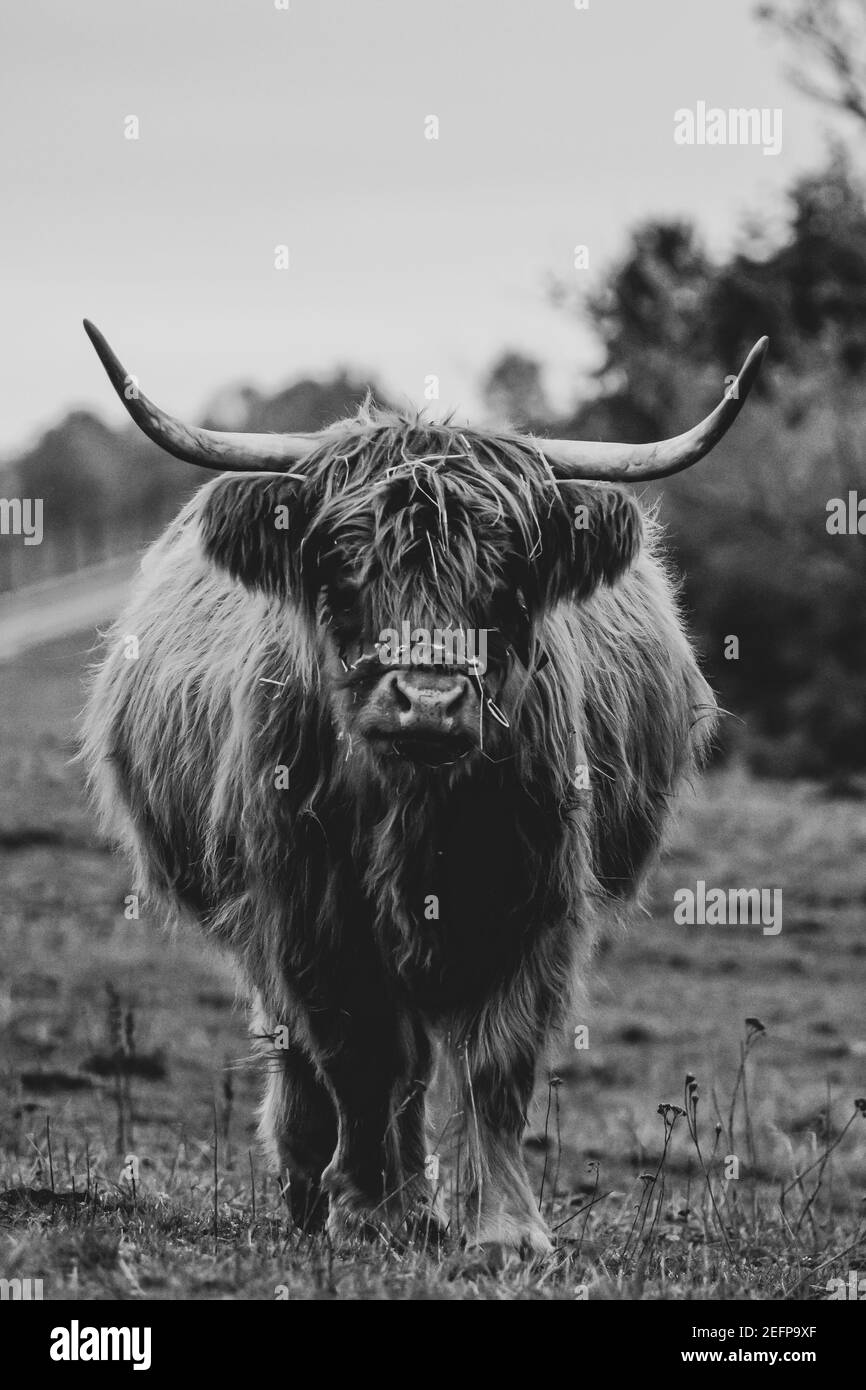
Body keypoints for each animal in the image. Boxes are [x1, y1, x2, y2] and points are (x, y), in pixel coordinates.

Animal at [81, 320, 767, 1256]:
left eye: (507, 582)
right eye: (343, 571)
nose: (429, 701)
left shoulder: (536, 901)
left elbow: (496, 1064)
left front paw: (502, 1228)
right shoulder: (307, 907)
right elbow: (361, 1053)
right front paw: (375, 1211)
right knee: (315, 1055)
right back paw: (315, 1184)